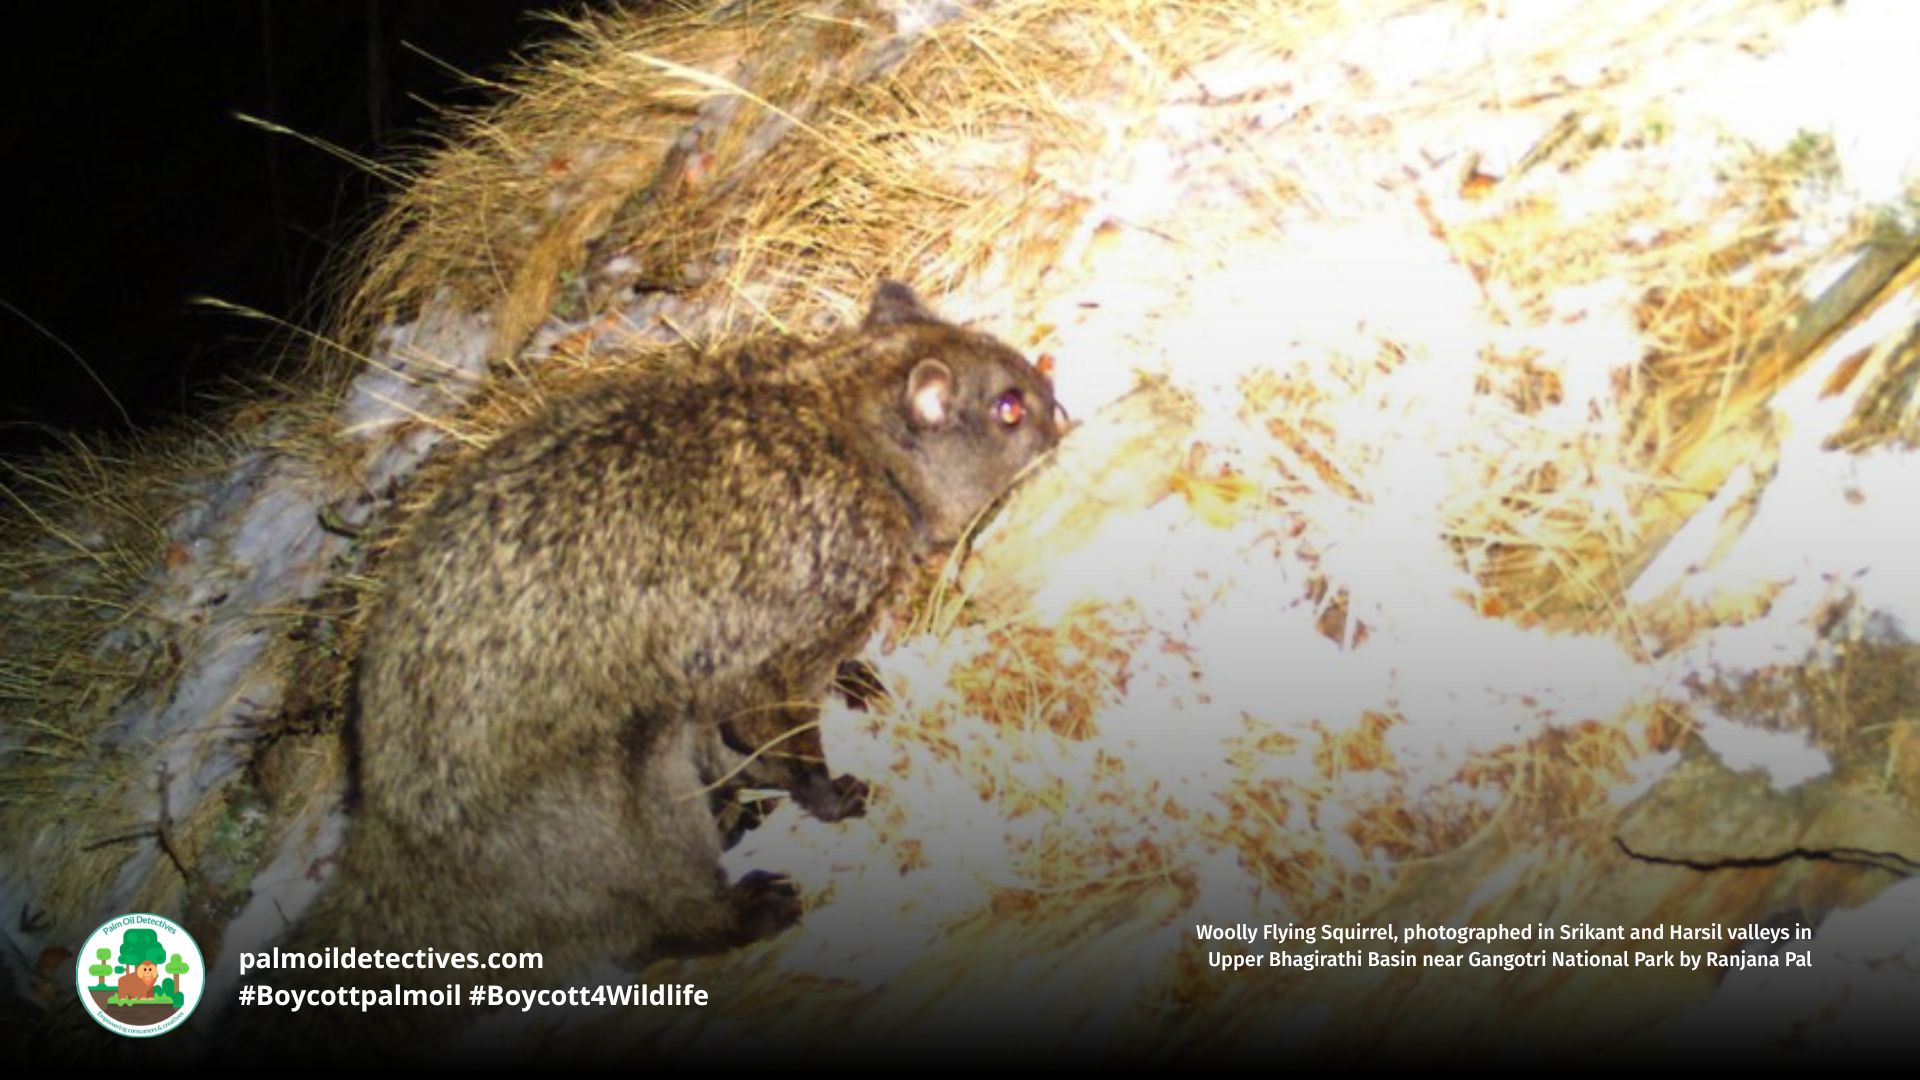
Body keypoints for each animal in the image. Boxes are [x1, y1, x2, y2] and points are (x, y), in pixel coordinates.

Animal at [273, 282, 1062, 1053]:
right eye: (1009, 407)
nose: (1064, 416)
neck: (838, 427)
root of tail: (391, 840)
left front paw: (853, 680)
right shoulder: (759, 657)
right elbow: (788, 743)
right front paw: (830, 793)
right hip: (618, 813)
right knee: (651, 925)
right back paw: (745, 906)